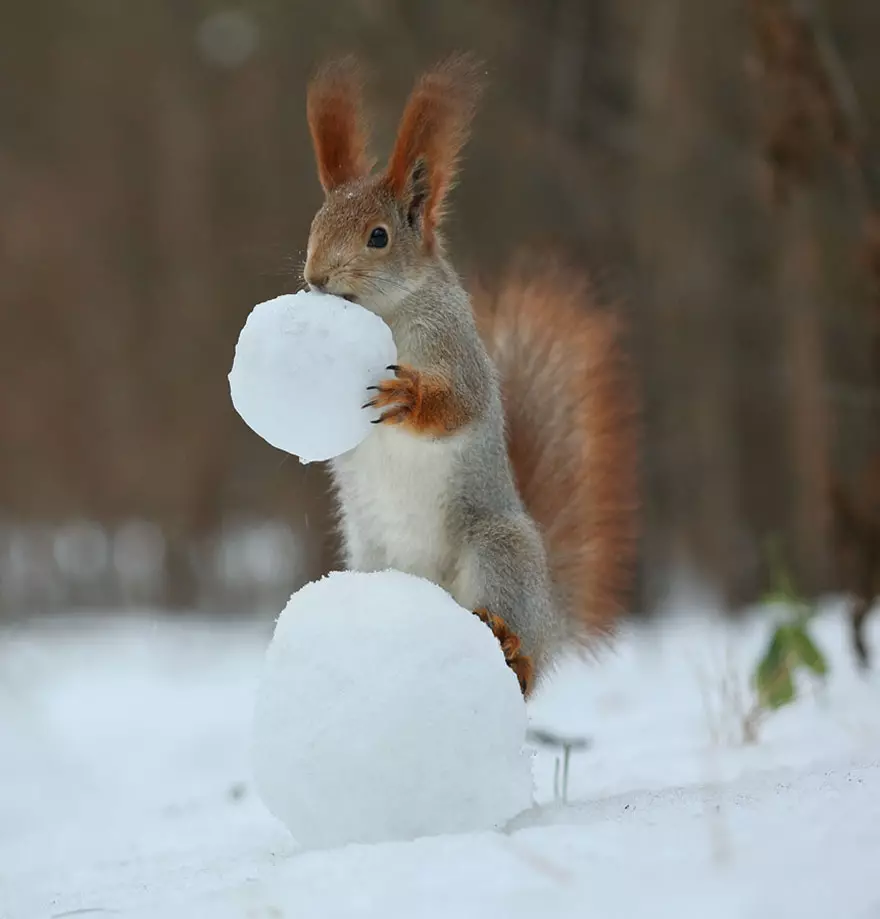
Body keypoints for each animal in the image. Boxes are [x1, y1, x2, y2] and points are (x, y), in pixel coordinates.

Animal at [302, 54, 640, 692]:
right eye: (314, 223)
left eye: (378, 237)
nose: (314, 279)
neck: (388, 312)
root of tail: (552, 618)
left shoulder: (454, 344)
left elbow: (463, 402)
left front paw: (408, 397)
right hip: (370, 557)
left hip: (498, 551)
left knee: (521, 657)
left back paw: (515, 649)